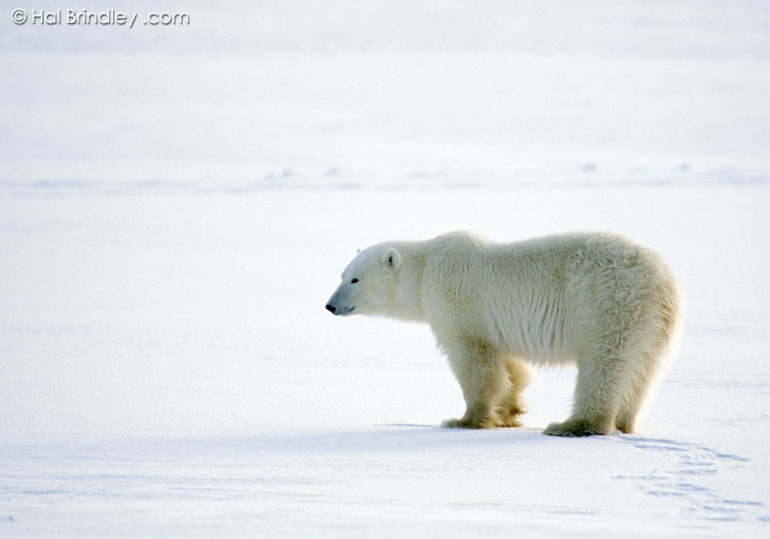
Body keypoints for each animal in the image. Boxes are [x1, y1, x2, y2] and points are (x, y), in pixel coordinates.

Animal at [325, 231, 680, 437]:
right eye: (342, 274)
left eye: (355, 279)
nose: (329, 305)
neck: (425, 268)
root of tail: (661, 280)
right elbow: (508, 365)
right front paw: (510, 411)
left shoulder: (454, 299)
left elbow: (475, 362)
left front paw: (464, 420)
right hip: (653, 325)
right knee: (642, 372)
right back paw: (623, 424)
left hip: (605, 300)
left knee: (602, 364)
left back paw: (572, 426)